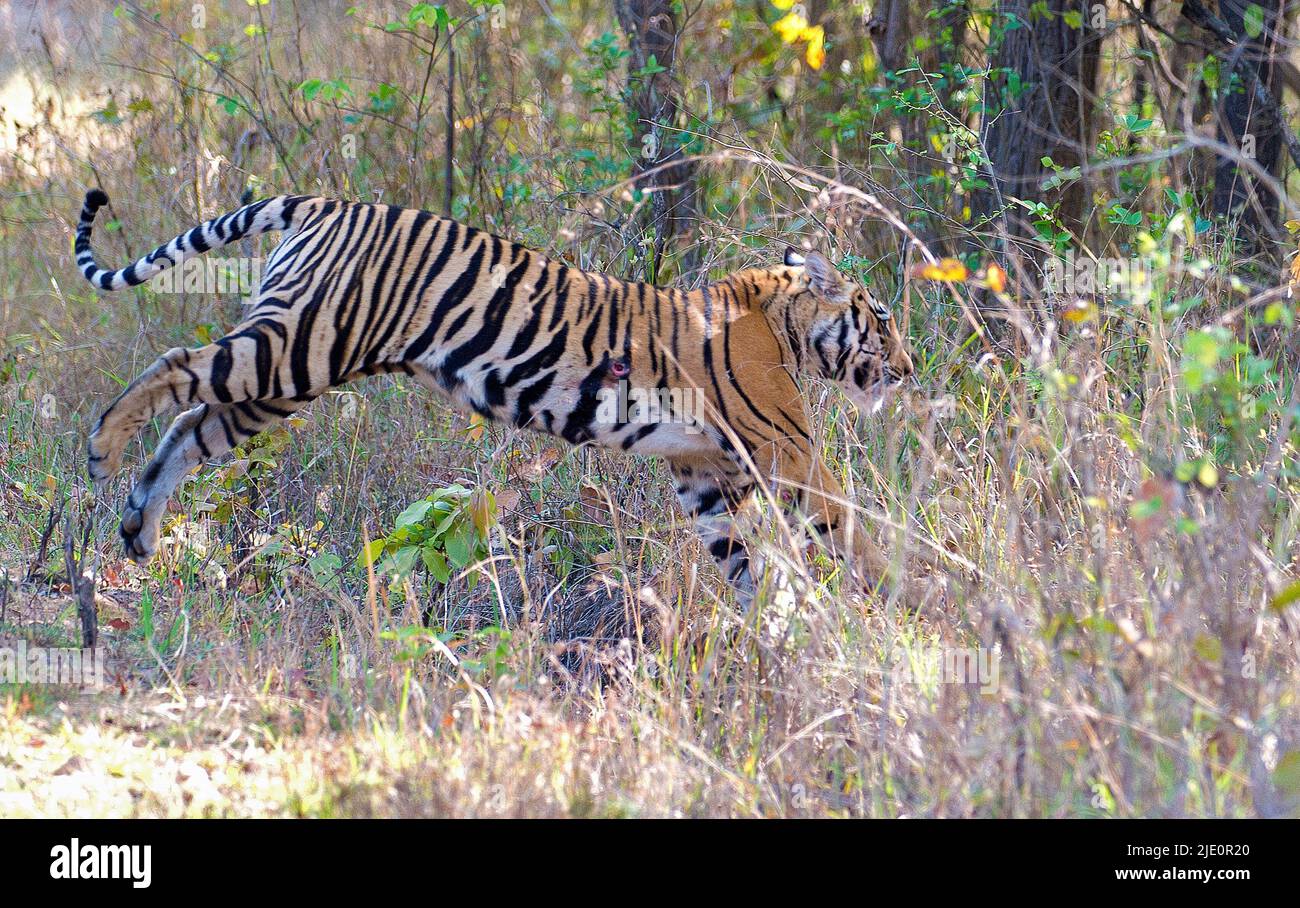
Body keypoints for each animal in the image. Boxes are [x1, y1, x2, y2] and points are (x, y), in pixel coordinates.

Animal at [74, 189, 914, 600]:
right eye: (881, 317)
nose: (910, 368)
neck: (784, 320)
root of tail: (321, 202)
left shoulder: (707, 471)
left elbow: (744, 556)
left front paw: (777, 626)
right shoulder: (788, 452)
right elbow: (849, 525)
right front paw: (904, 600)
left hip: (287, 377)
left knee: (190, 426)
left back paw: (138, 528)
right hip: (300, 343)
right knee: (176, 365)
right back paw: (101, 449)